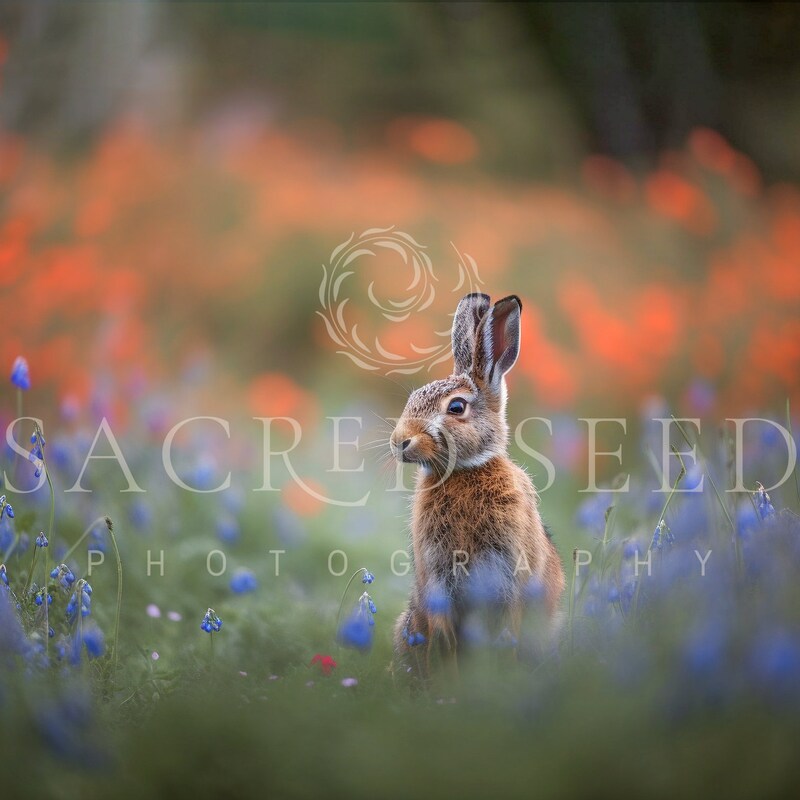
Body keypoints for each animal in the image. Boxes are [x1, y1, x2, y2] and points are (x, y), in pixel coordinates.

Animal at [389, 292, 565, 683]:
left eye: (456, 407)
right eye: (411, 400)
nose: (399, 441)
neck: (462, 472)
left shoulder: (509, 573)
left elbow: (506, 633)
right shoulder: (437, 577)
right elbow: (444, 637)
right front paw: (449, 682)